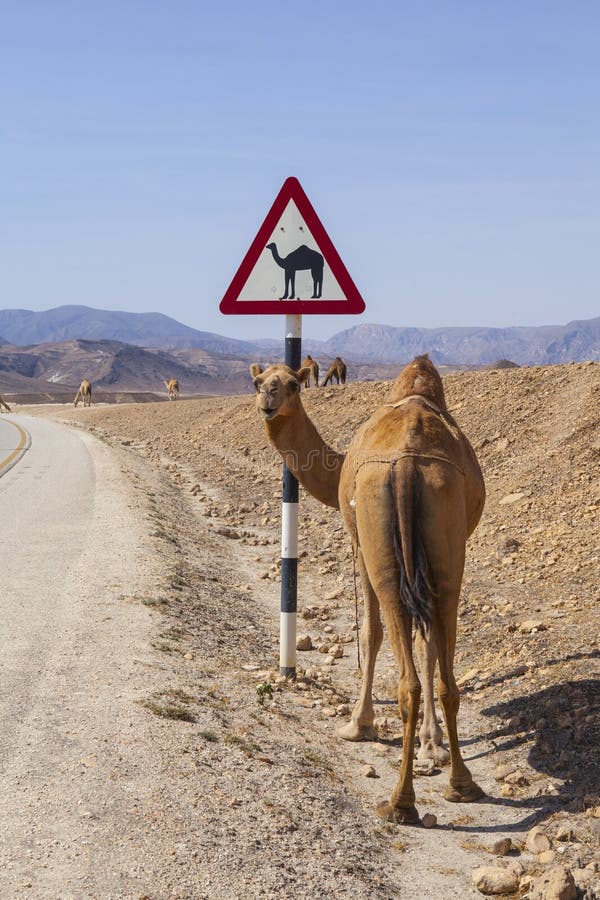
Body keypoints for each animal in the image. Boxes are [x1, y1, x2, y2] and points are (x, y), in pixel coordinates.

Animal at [251, 355, 486, 823]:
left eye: (292, 384)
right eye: (258, 381)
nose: (268, 398)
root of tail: (410, 462)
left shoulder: (357, 541)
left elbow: (370, 635)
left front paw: (358, 724)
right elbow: (427, 644)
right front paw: (432, 745)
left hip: (381, 548)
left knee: (404, 671)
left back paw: (399, 802)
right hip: (448, 542)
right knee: (443, 665)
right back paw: (461, 784)